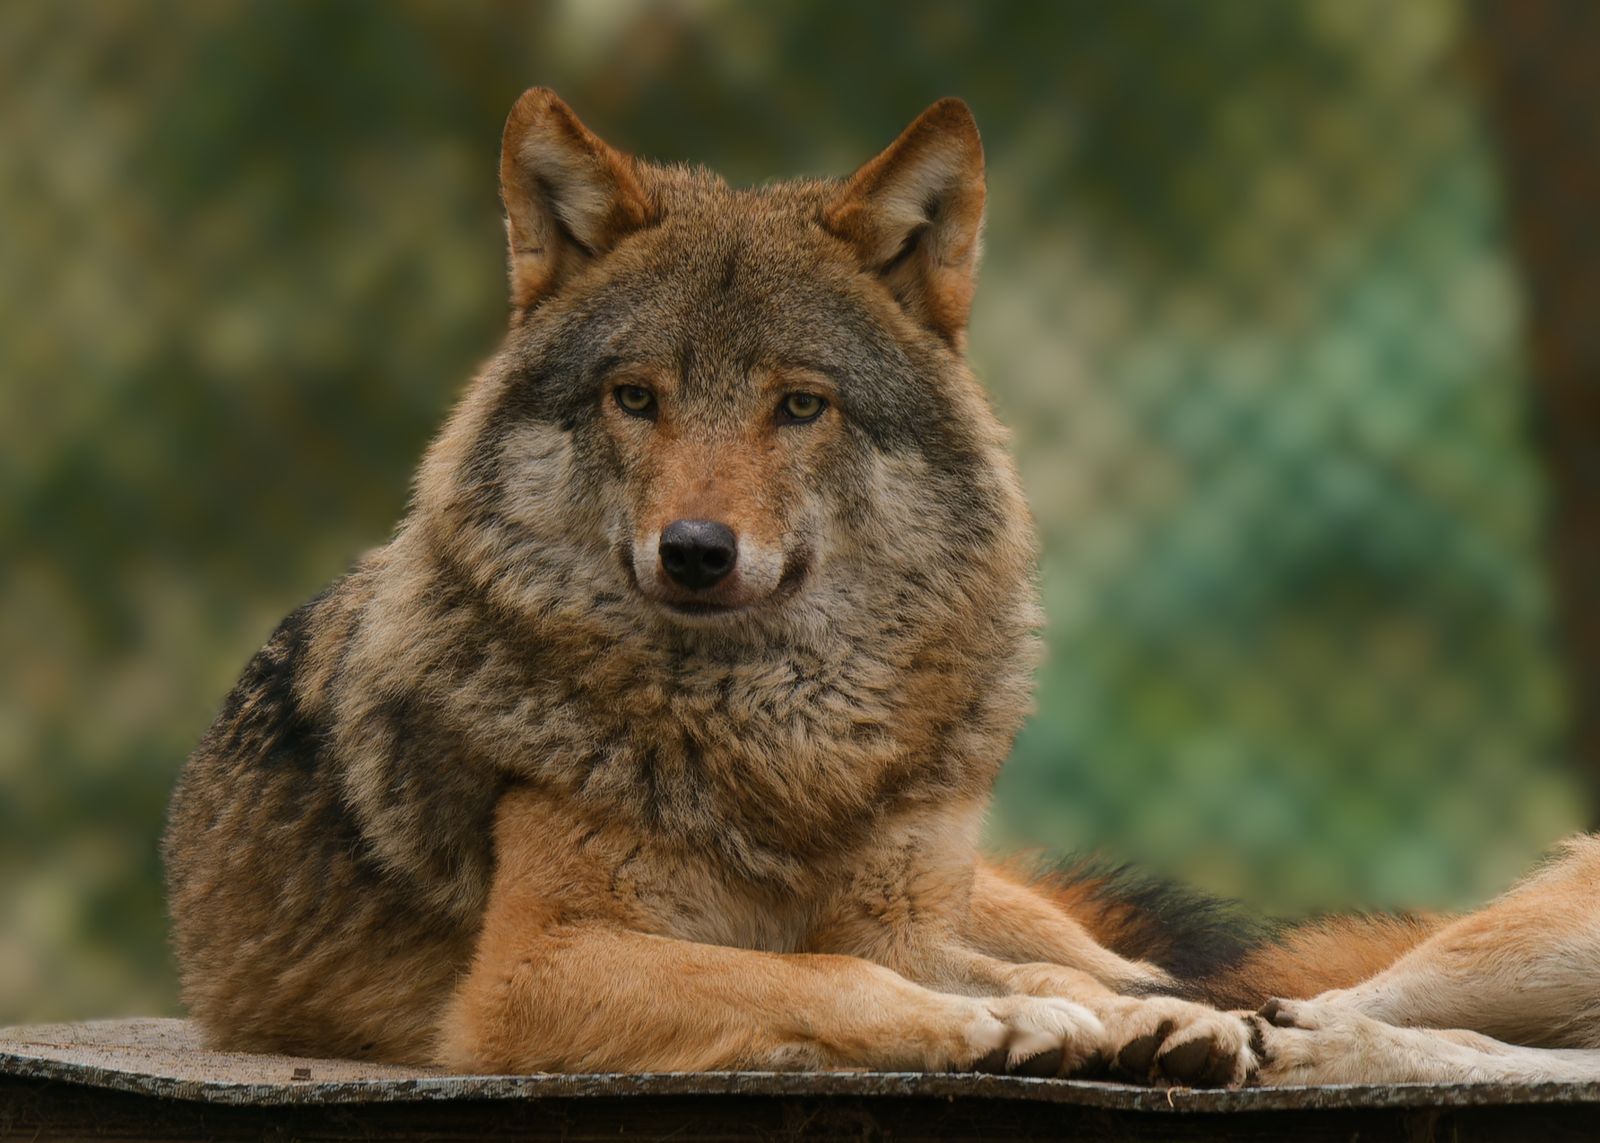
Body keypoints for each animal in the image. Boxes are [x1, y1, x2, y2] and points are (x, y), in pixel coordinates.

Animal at [164, 88, 1600, 1087]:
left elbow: (929, 963)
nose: (696, 549)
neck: (782, 738)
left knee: (1154, 957)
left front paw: (1124, 1022)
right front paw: (1012, 1030)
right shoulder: (537, 966)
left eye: (801, 405)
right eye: (636, 398)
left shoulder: (906, 921)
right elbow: (832, 973)